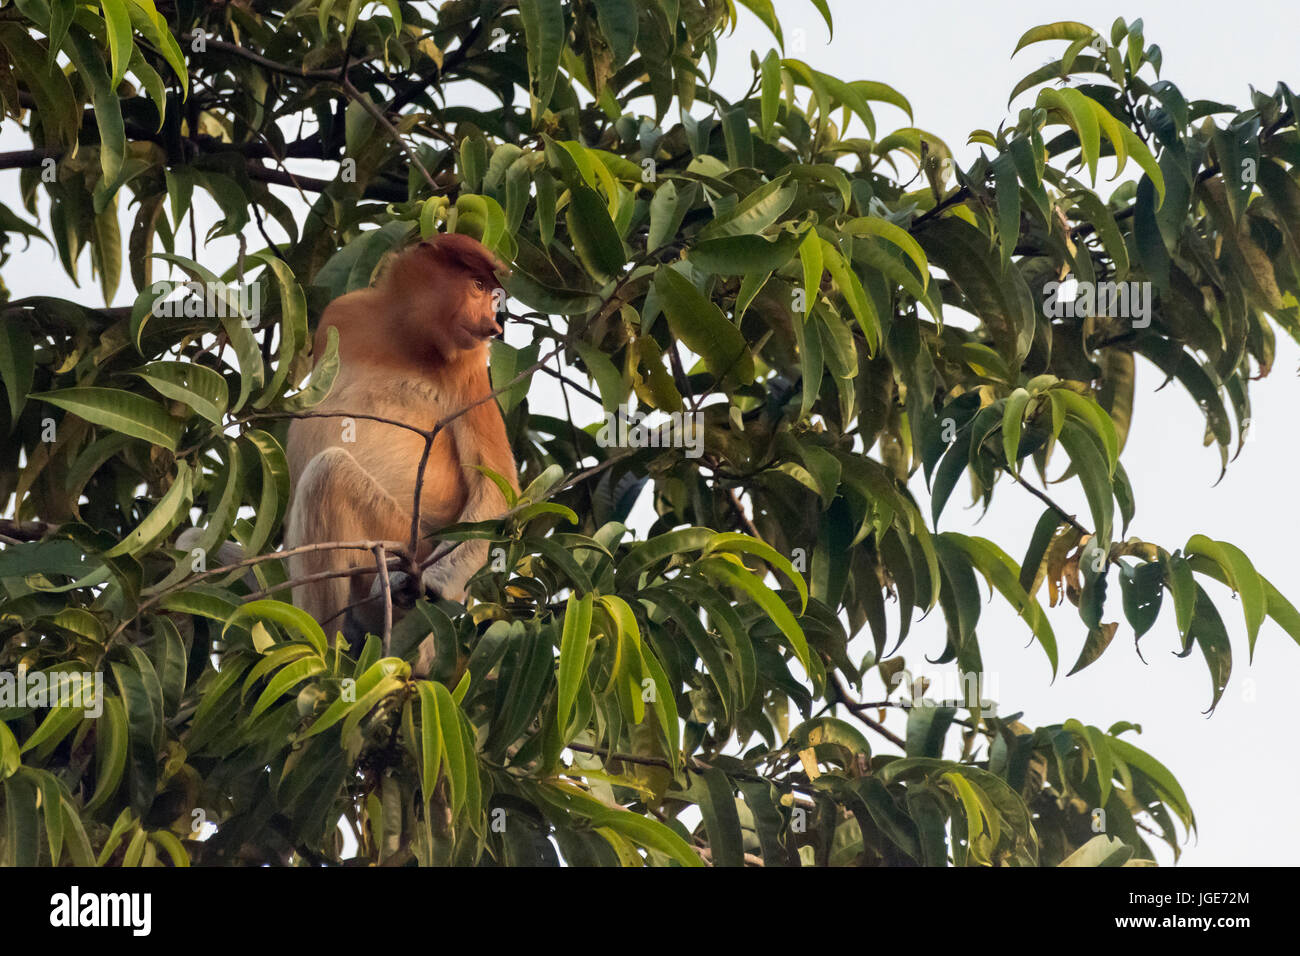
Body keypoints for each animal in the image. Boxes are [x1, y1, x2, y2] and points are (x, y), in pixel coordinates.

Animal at [284, 233, 519, 672]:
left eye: (489, 291)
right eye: (478, 286)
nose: (493, 324)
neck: (406, 335)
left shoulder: (471, 369)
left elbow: (496, 487)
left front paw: (430, 585)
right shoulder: (344, 312)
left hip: (404, 542)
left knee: (328, 472)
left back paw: (326, 654)